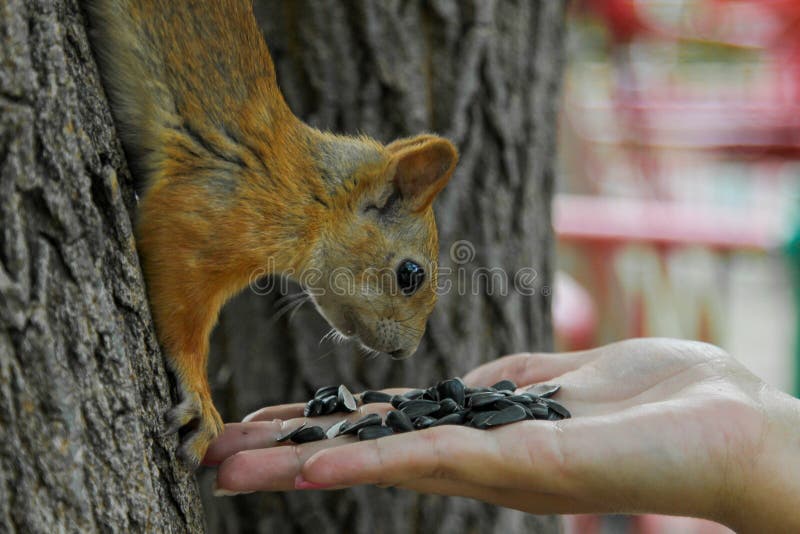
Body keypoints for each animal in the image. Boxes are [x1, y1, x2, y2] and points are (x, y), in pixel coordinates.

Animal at [86, 0, 458, 465]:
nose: (406, 350)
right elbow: (179, 304)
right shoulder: (205, 216)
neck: (310, 197)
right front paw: (201, 400)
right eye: (410, 274)